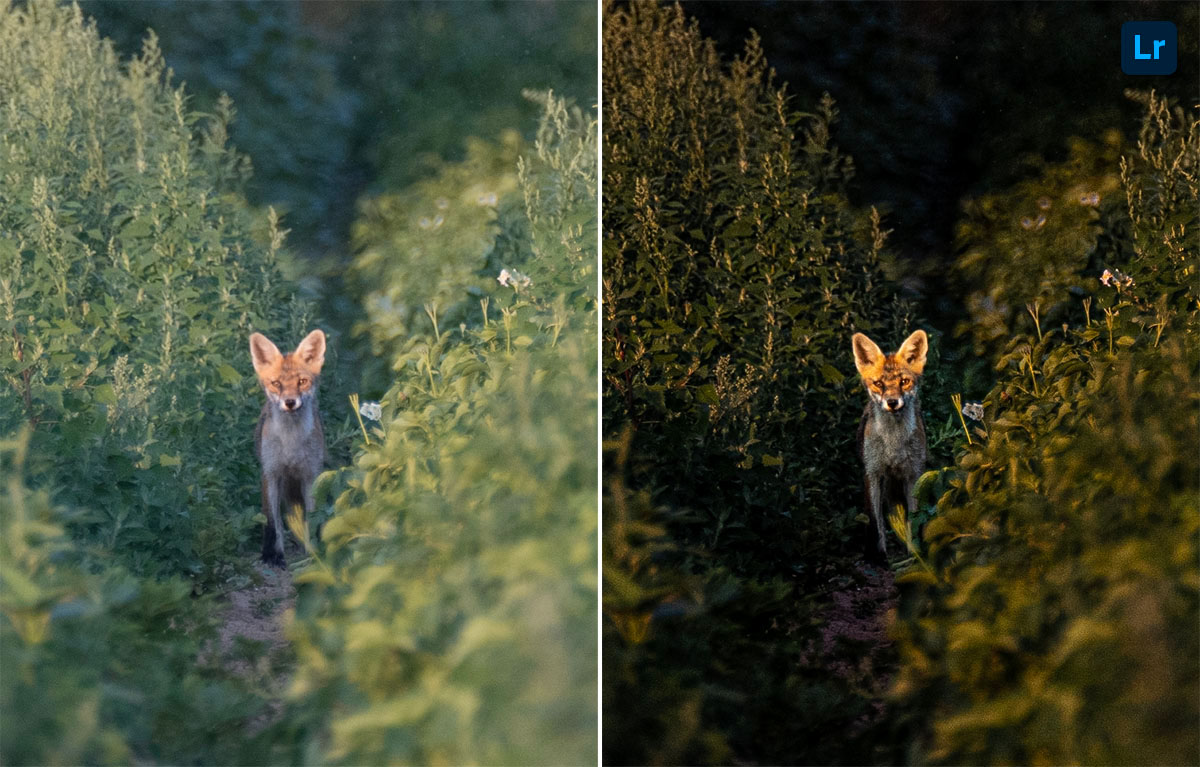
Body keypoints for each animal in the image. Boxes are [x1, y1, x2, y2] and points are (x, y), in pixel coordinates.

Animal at [249, 329, 327, 567]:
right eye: (276, 383)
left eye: (302, 381)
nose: (290, 402)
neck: (290, 443)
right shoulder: (270, 473)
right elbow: (273, 524)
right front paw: (272, 555)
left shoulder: (310, 475)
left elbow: (312, 517)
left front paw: (314, 553)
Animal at [851, 329, 928, 560]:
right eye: (878, 384)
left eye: (904, 382)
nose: (892, 402)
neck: (893, 444)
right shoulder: (872, 473)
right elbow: (875, 524)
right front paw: (877, 557)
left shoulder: (913, 474)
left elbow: (914, 518)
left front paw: (915, 554)